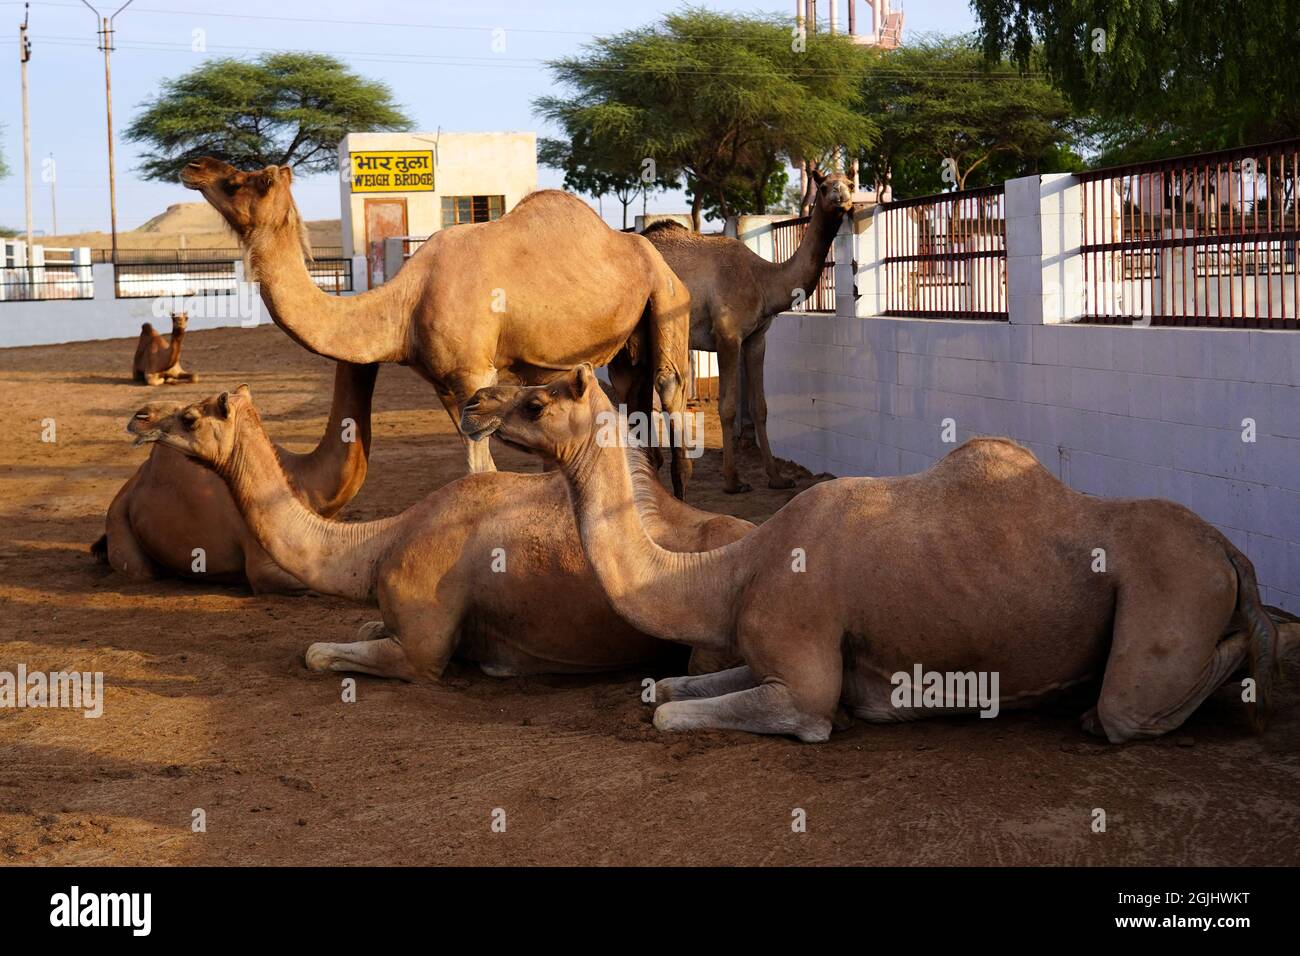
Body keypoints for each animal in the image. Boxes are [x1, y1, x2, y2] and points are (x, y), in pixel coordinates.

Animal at [92, 362, 378, 594]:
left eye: (189, 418)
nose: (140, 416)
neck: (307, 485)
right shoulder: (263, 567)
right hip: (119, 521)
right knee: (142, 570)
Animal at [133, 384, 752, 680]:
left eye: (191, 416)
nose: (140, 415)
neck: (377, 546)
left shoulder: (422, 648)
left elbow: (317, 653)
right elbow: (360, 626)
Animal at [179, 157, 694, 497]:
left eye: (242, 181)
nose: (193, 165)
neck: (404, 305)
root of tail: (641, 246)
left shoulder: (474, 376)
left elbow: (482, 469)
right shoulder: (444, 386)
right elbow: (477, 468)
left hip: (668, 297)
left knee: (669, 386)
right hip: (621, 345)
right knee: (631, 395)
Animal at [460, 366, 1285, 744]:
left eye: (535, 399)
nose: (472, 403)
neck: (729, 575)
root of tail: (1229, 552)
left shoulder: (804, 688)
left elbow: (671, 715)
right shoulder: (766, 653)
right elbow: (665, 687)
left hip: (1170, 599)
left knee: (1130, 706)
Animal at [643, 169, 854, 493]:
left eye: (851, 184)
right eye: (825, 187)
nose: (841, 198)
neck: (763, 280)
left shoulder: (757, 338)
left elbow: (760, 407)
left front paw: (777, 478)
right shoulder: (728, 336)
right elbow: (728, 406)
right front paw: (733, 480)